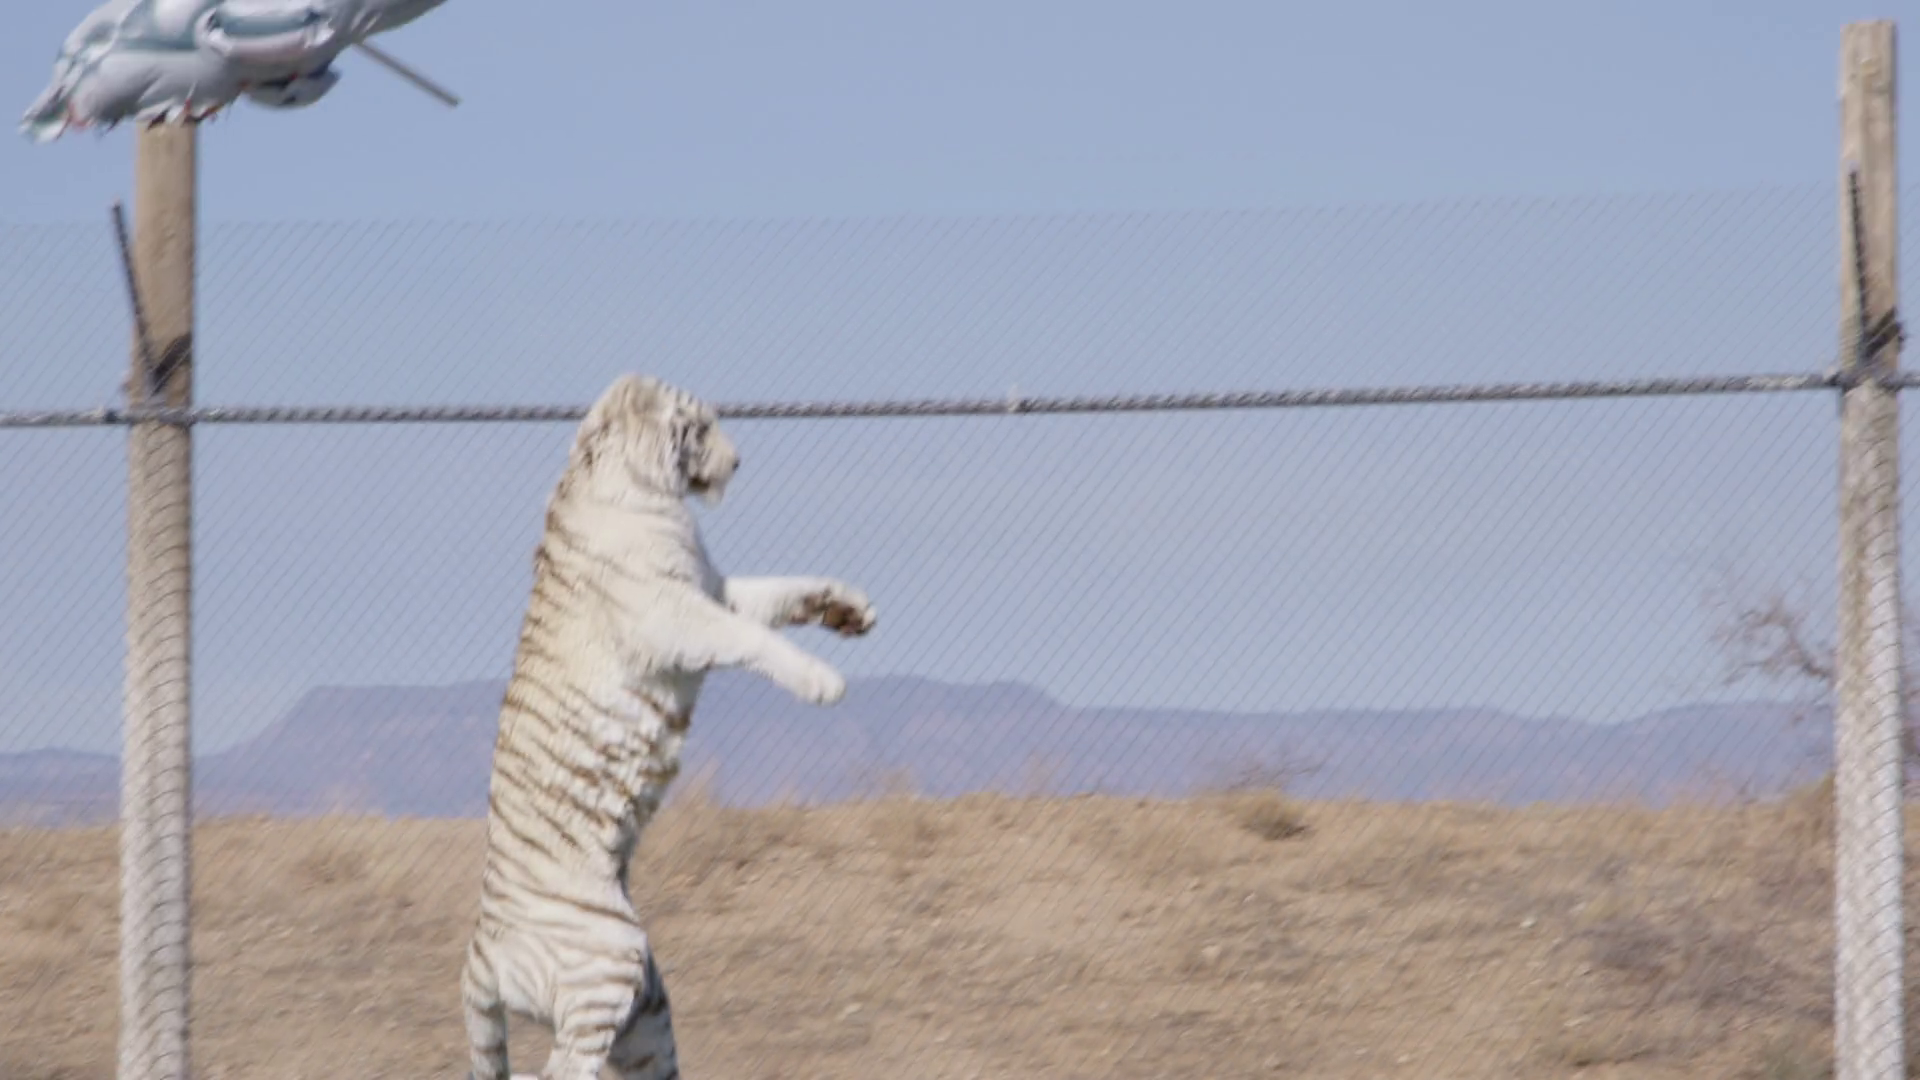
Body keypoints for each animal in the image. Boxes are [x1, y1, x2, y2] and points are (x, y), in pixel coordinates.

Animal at [460, 374, 877, 1080]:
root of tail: (480, 952)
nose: (739, 462)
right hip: (607, 961)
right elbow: (754, 637)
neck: (642, 488)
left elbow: (779, 591)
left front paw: (846, 606)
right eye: (700, 427)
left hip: (645, 1010)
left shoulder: (710, 586)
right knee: (556, 1071)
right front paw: (823, 681)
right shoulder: (676, 614)